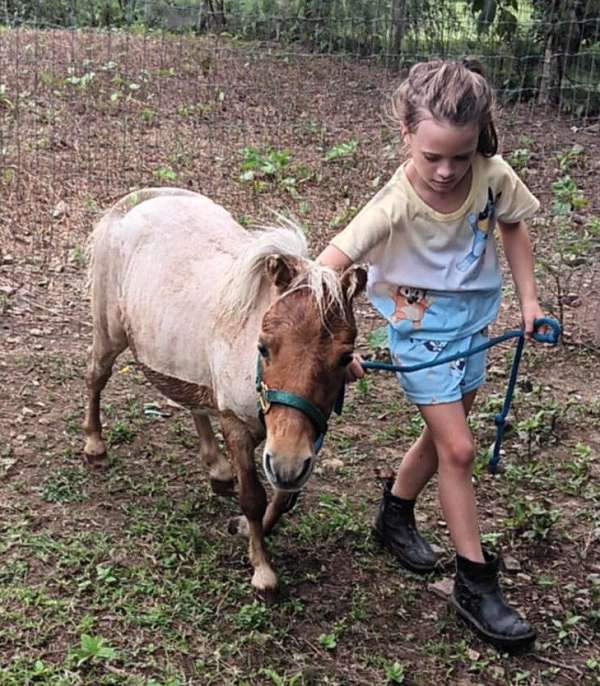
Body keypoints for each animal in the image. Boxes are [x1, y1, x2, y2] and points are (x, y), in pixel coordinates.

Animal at [83, 188, 366, 595]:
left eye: (344, 358)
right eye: (263, 347)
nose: (287, 463)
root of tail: (139, 198)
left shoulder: (297, 445)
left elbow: (283, 495)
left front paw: (247, 529)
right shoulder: (239, 427)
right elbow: (254, 497)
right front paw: (262, 569)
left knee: (194, 403)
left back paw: (216, 469)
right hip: (109, 334)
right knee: (96, 377)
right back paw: (94, 445)